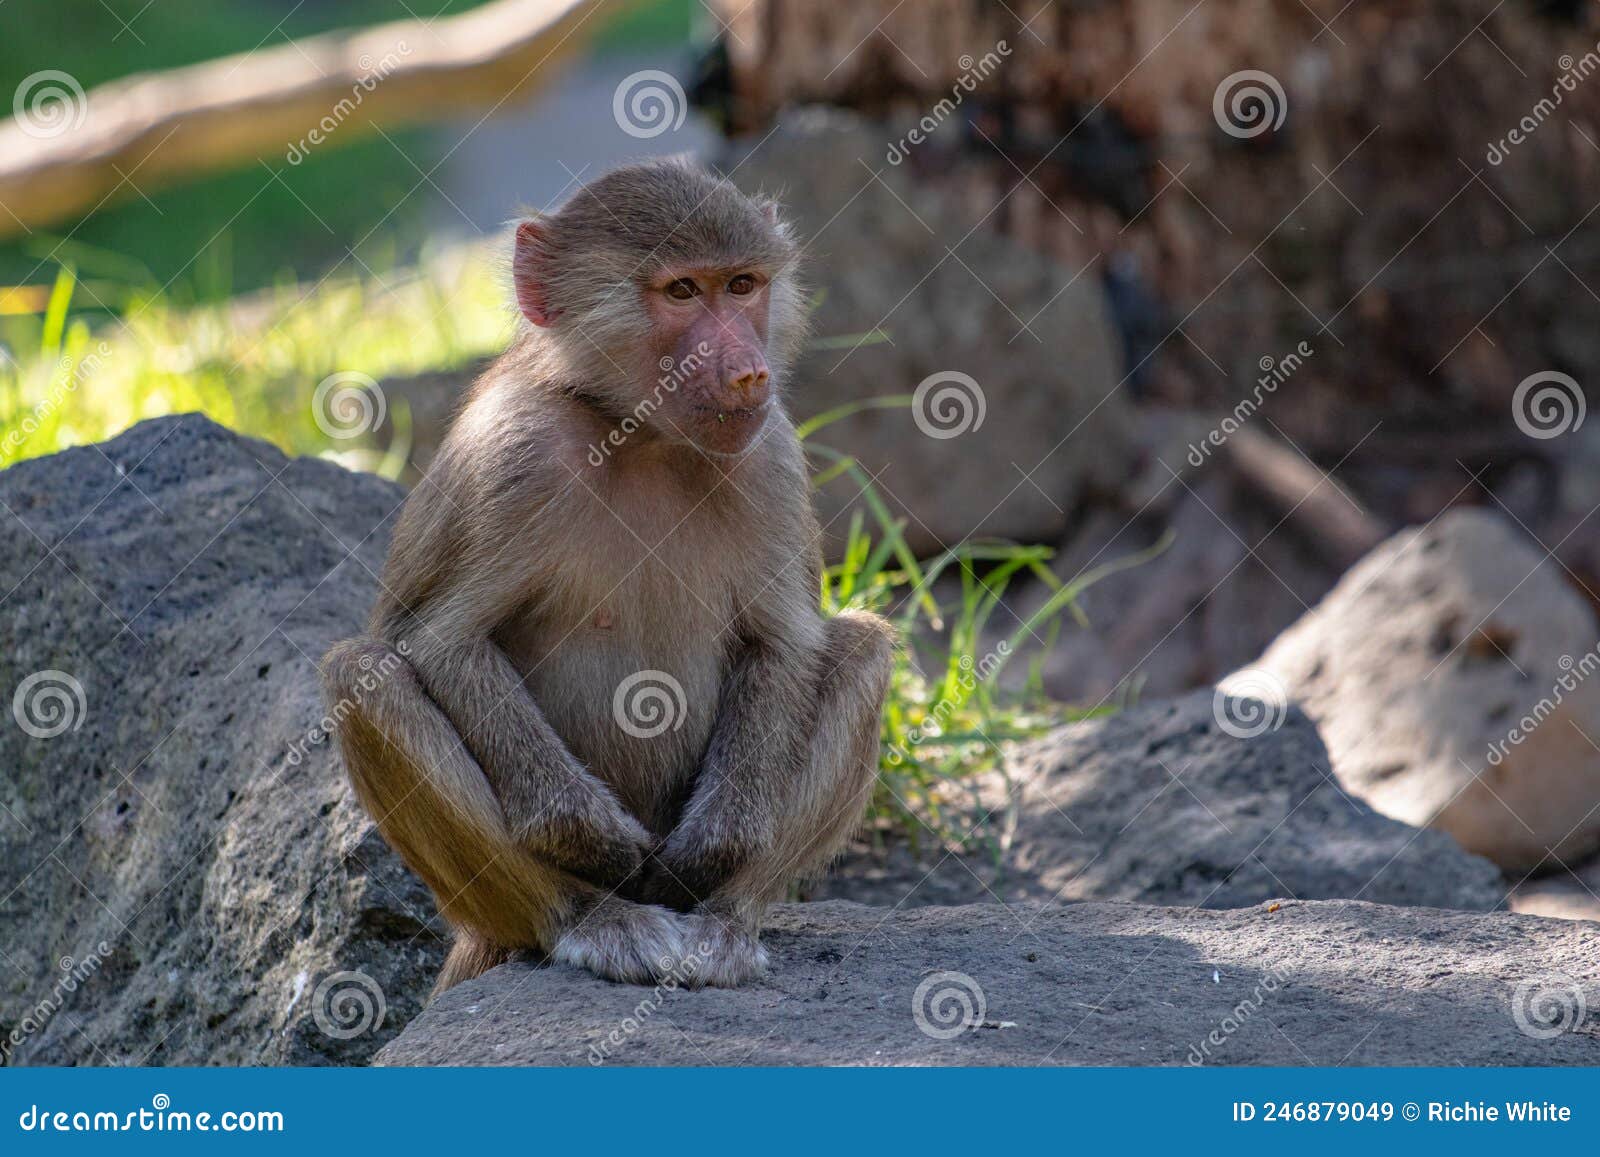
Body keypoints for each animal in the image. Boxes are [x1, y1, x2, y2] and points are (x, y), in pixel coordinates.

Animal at [321, 159, 896, 996]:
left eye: (743, 285)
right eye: (682, 291)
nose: (748, 372)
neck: (639, 433)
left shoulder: (772, 454)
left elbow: (785, 643)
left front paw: (713, 851)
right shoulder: (512, 456)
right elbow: (441, 642)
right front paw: (595, 842)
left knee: (862, 648)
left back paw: (726, 917)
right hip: (491, 910)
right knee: (362, 673)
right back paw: (590, 915)